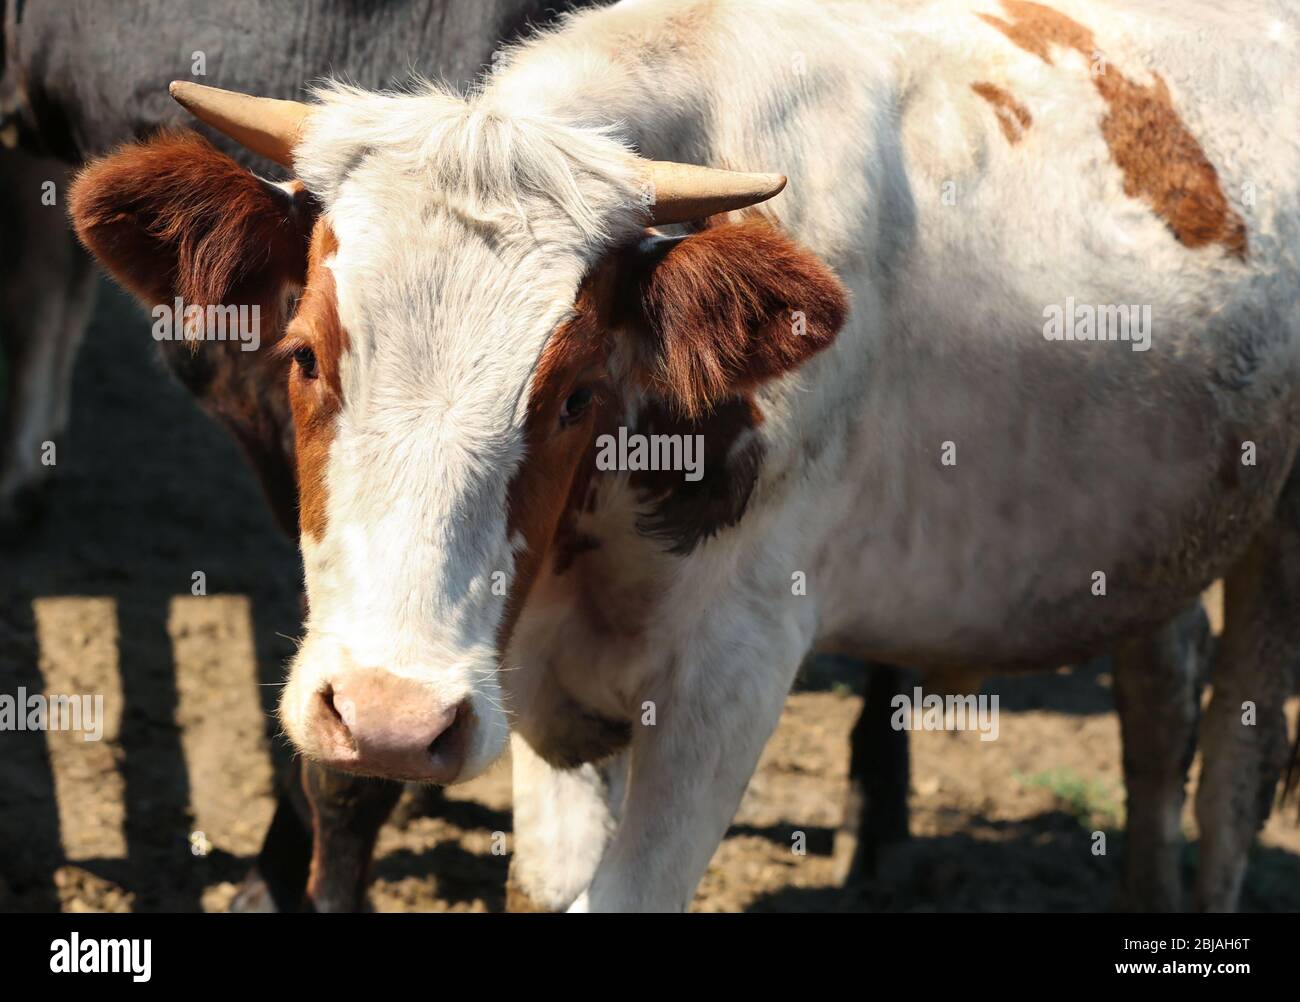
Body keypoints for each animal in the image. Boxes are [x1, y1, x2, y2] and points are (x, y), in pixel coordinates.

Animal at [68, 0, 1299, 911]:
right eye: (307, 355)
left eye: (571, 392)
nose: (388, 720)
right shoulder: (533, 675)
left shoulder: (732, 675)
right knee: (1159, 701)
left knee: (1234, 772)